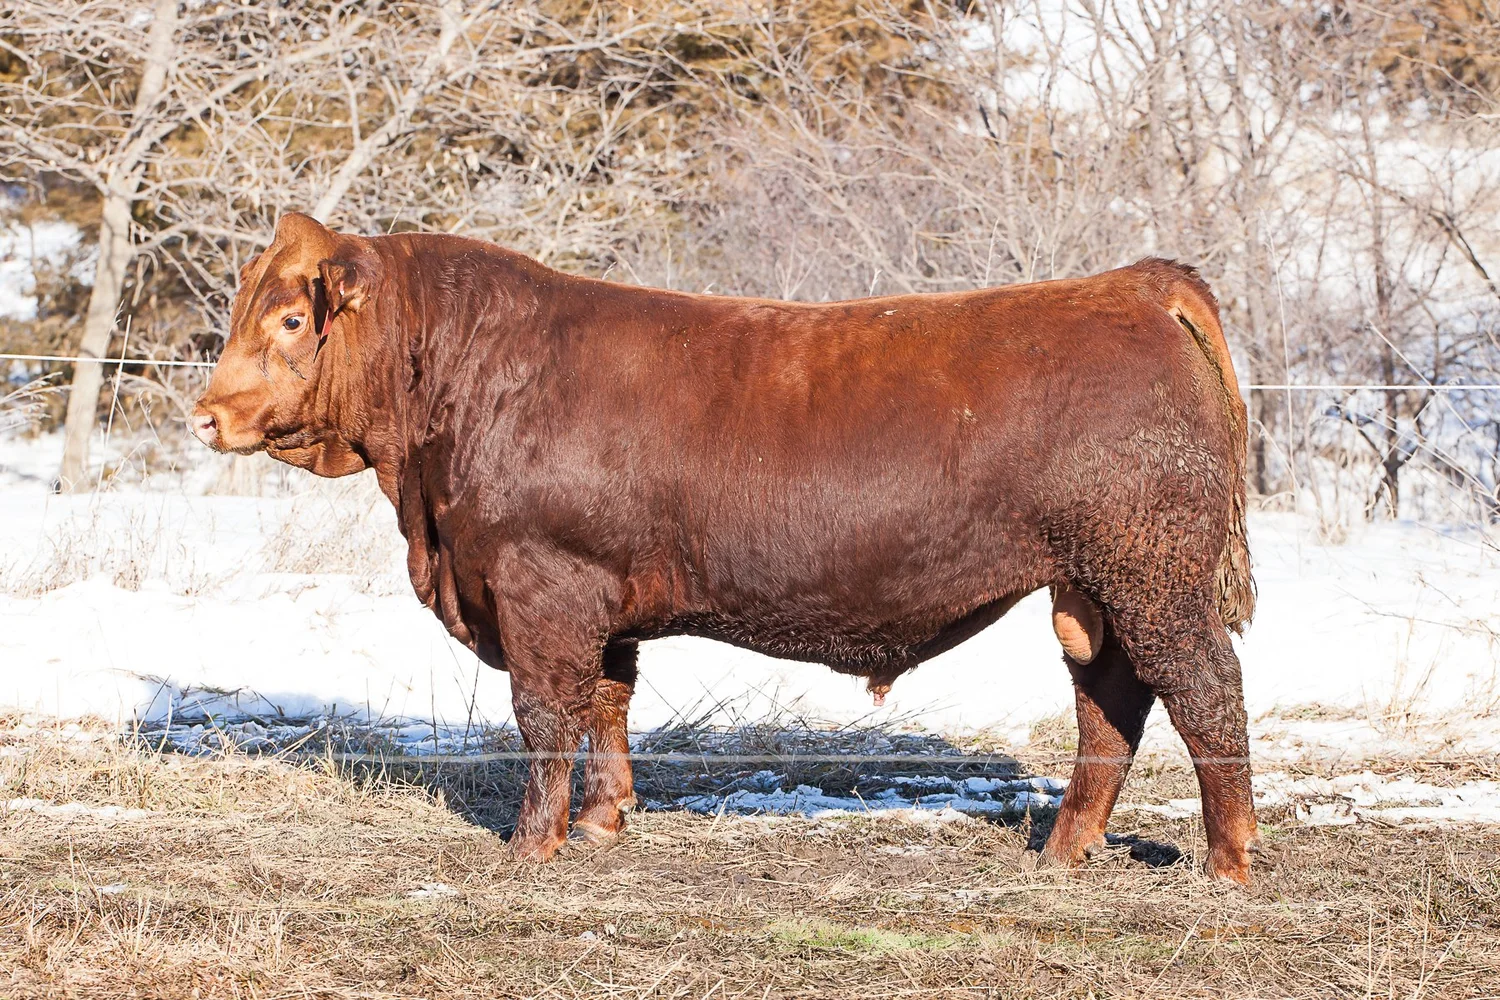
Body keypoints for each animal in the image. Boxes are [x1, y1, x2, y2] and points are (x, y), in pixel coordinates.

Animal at [193, 213, 1260, 882]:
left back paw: (1227, 861)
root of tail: (1134, 285)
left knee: (1204, 689)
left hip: (1154, 572)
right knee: (1110, 705)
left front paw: (531, 847)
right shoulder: (602, 602)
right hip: (1094, 587)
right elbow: (607, 706)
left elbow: (545, 715)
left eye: (291, 317)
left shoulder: (541, 584)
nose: (206, 414)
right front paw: (603, 823)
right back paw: (1065, 852)